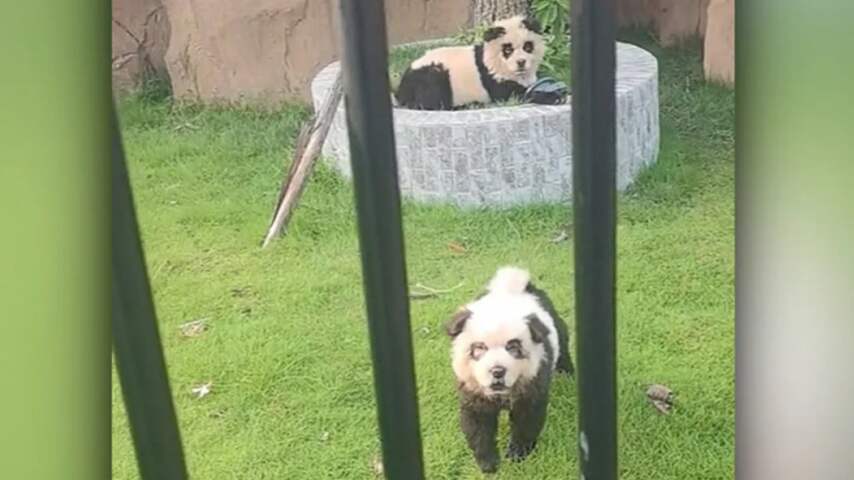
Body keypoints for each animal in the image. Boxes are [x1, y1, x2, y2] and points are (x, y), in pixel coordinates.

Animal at [395, 16, 545, 110]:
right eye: (508, 50)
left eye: (527, 46)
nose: (521, 62)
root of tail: (401, 90)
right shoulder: (492, 75)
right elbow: (511, 94)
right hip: (432, 73)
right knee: (431, 98)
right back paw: (467, 105)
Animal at [445, 266, 573, 473]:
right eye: (479, 348)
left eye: (513, 347)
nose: (497, 371)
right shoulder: (473, 391)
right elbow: (478, 425)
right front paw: (488, 463)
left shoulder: (532, 382)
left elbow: (526, 420)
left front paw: (517, 455)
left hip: (555, 324)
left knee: (563, 344)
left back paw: (567, 374)